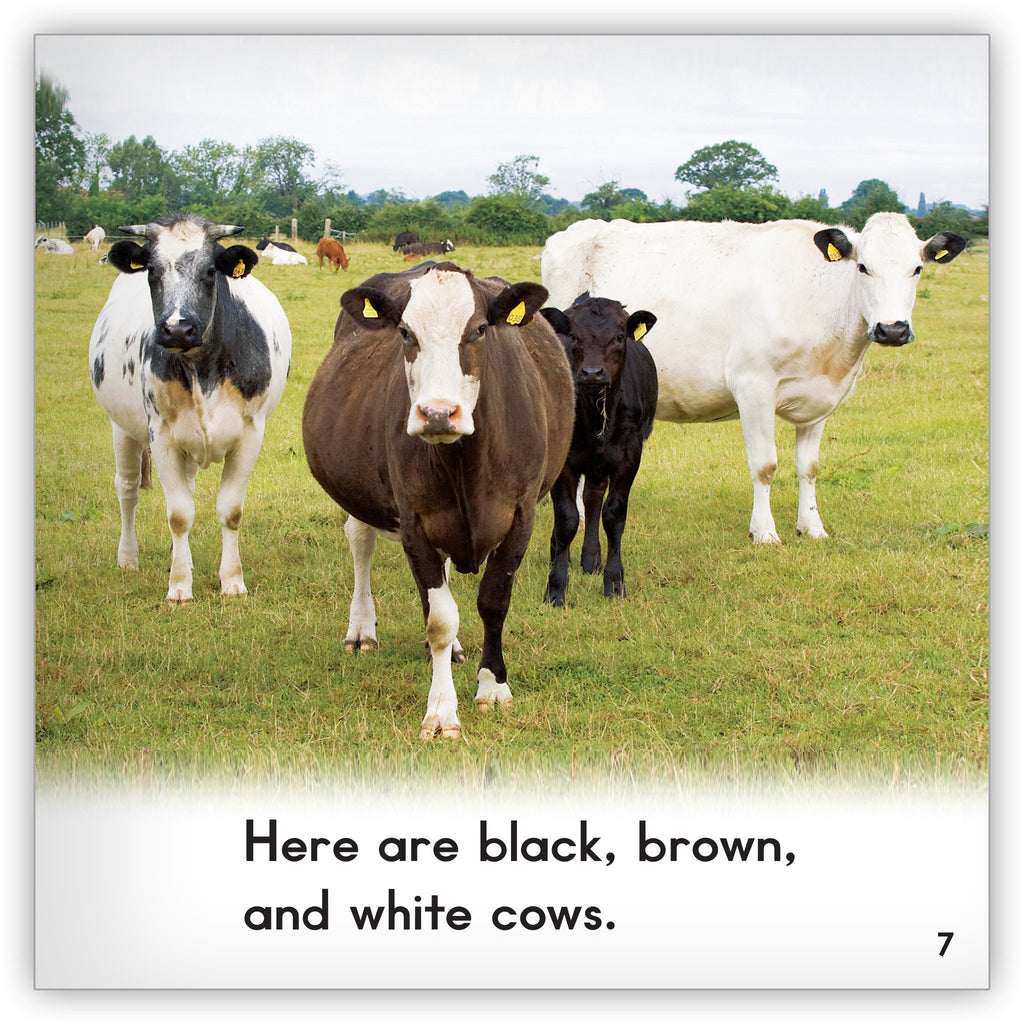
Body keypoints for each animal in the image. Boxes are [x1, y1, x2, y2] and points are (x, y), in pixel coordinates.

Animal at [87, 214, 292, 602]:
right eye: (152, 270)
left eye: (211, 271)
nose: (178, 329)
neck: (202, 369)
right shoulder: (162, 436)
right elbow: (179, 515)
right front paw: (179, 586)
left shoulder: (251, 433)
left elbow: (230, 511)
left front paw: (232, 582)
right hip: (121, 427)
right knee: (127, 488)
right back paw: (128, 557)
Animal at [302, 262, 574, 739]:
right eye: (406, 332)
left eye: (480, 329)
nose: (437, 413)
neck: (464, 462)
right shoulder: (414, 522)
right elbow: (439, 619)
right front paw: (442, 711)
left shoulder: (521, 515)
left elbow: (493, 602)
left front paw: (493, 686)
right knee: (361, 542)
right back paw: (361, 630)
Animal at [540, 293, 658, 606]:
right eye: (574, 336)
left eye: (619, 336)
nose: (592, 373)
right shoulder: (566, 462)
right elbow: (567, 519)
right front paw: (556, 588)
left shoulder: (629, 457)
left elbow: (613, 516)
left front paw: (614, 582)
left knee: (593, 499)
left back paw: (591, 560)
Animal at [542, 213, 967, 543]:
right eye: (863, 267)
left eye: (917, 269)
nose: (892, 329)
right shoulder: (754, 386)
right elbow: (765, 465)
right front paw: (764, 532)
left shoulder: (821, 397)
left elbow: (809, 467)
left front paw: (812, 527)